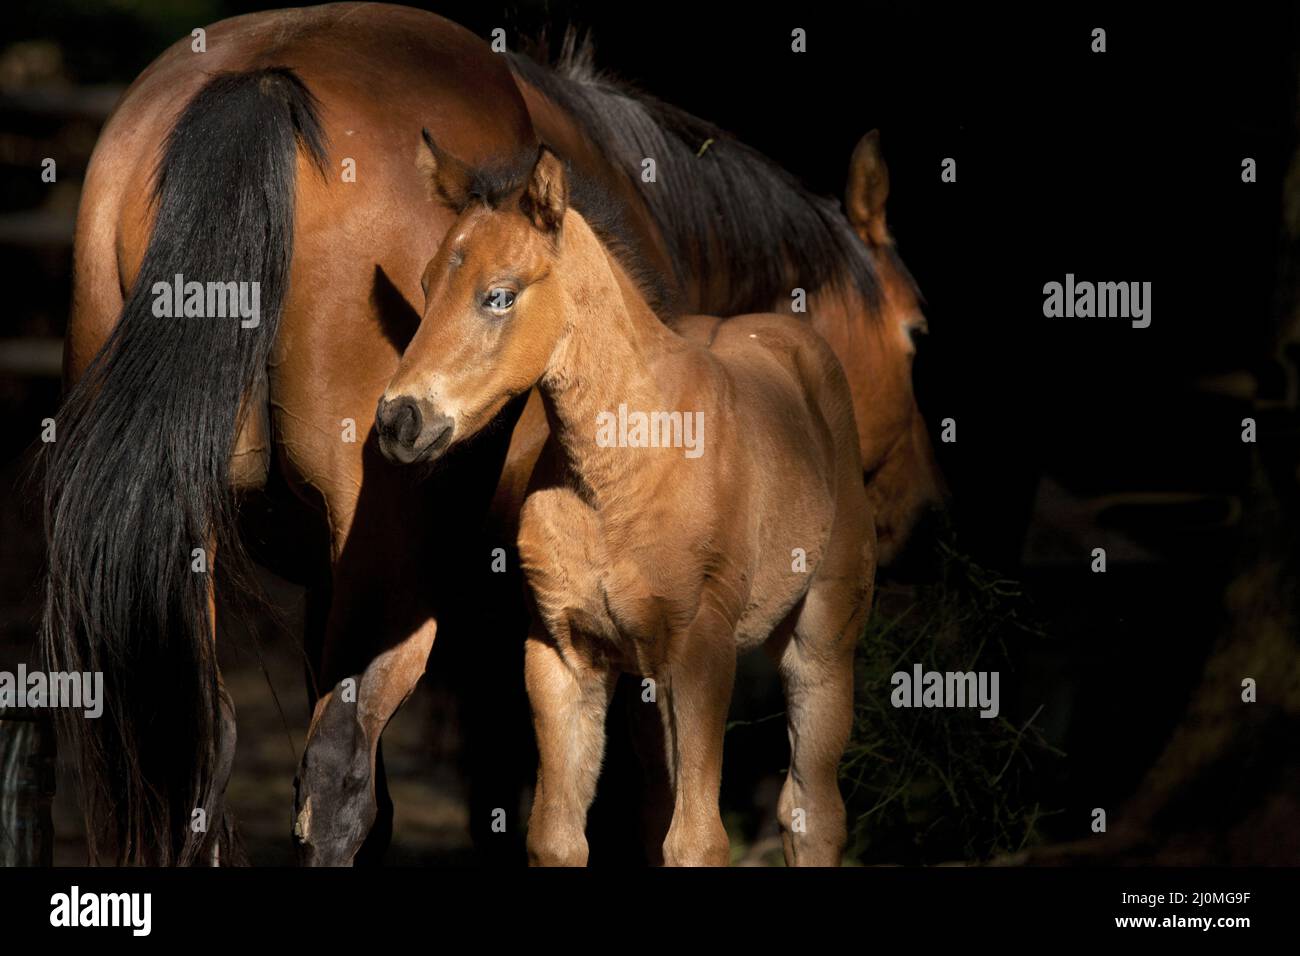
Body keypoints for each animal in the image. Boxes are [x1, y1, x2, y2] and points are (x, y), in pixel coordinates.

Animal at [379, 139, 875, 866]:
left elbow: (698, 840)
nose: (398, 421)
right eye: (425, 285)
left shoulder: (702, 652)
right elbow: (560, 836)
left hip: (823, 638)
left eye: (499, 295)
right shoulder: (561, 653)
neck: (616, 481)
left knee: (813, 810)